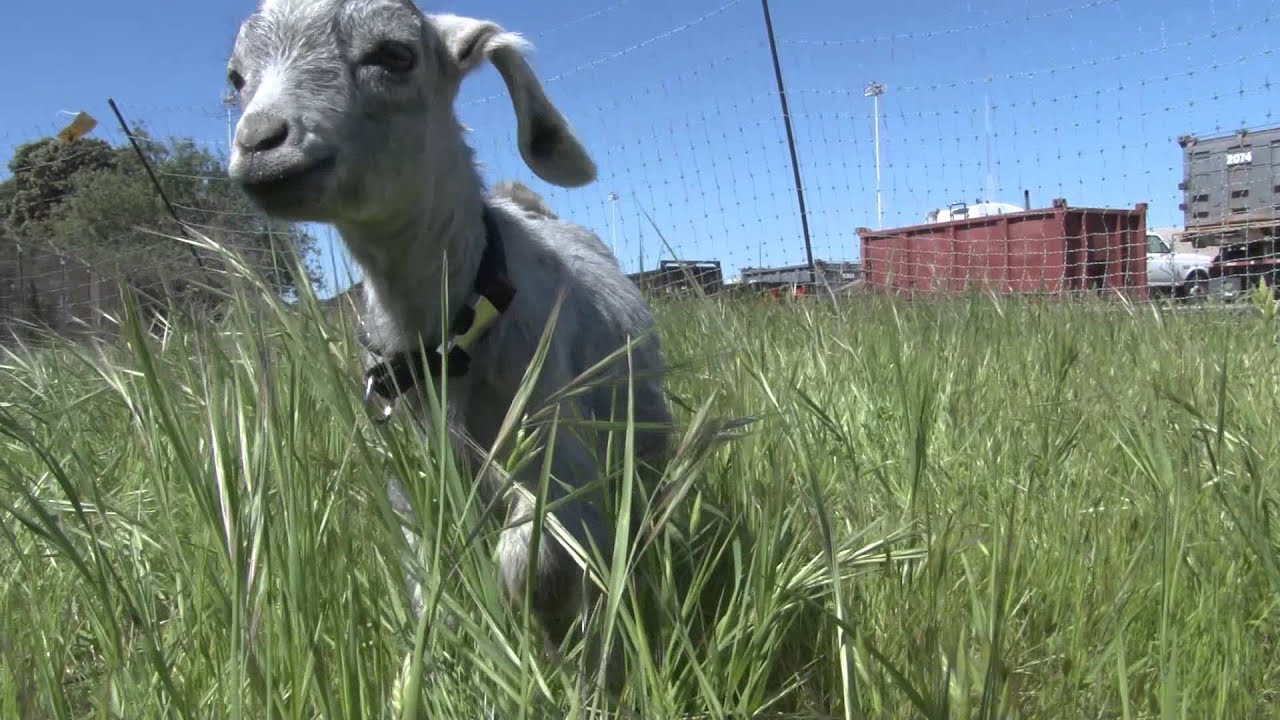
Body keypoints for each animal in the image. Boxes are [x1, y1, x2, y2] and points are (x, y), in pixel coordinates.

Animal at [225, 0, 673, 695]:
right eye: (237, 78)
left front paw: (557, 650)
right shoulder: (411, 482)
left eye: (394, 54)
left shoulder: (560, 452)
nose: (260, 145)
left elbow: (540, 562)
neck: (449, 336)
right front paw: (423, 671)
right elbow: (423, 584)